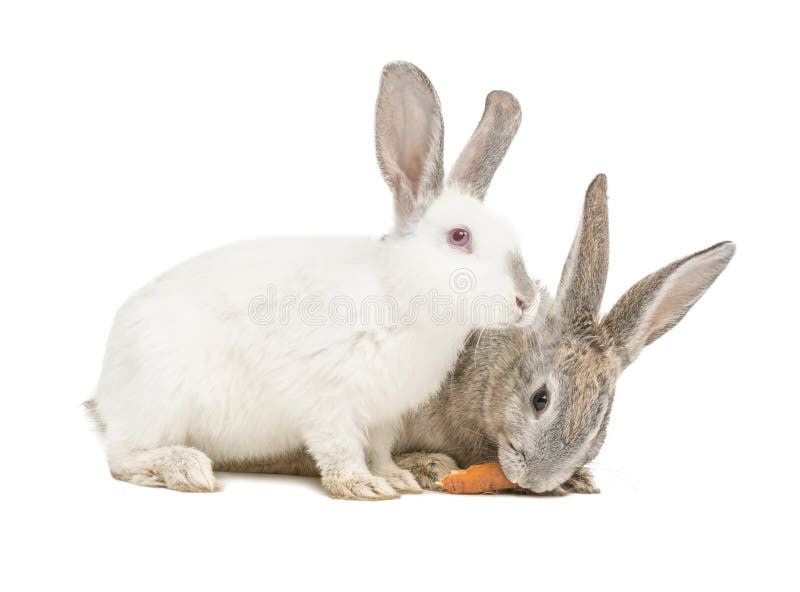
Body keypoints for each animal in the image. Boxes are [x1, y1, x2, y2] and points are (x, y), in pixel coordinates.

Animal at [85, 62, 540, 500]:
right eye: (459, 237)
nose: (526, 299)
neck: (400, 296)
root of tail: (106, 390)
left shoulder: (385, 416)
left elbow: (378, 451)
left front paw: (396, 478)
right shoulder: (330, 403)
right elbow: (341, 449)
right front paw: (363, 486)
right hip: (160, 403)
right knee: (123, 458)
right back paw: (185, 468)